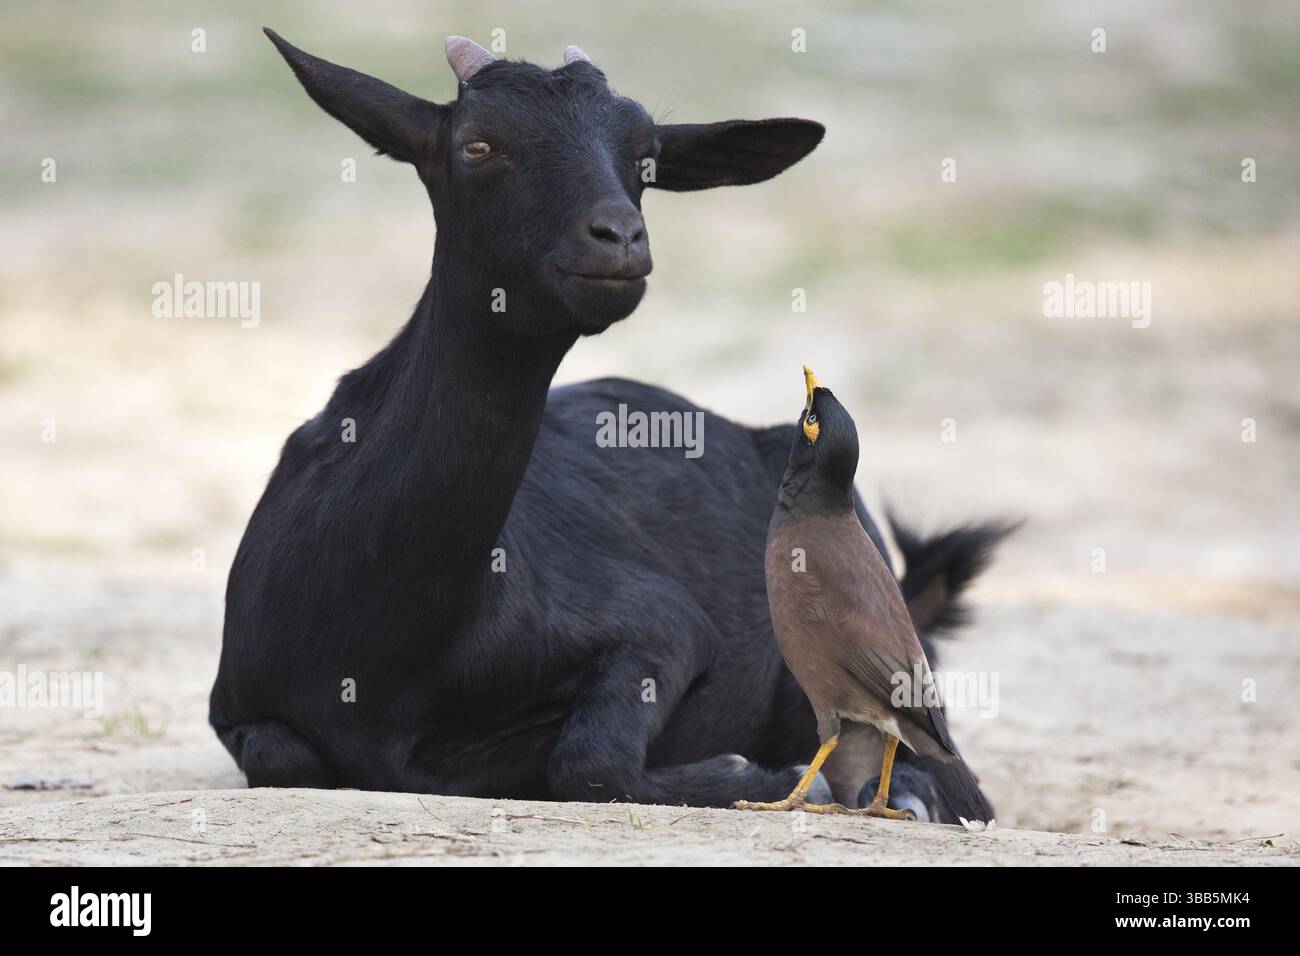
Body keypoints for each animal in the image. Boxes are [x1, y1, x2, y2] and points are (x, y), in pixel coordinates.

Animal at [210, 32, 1008, 818]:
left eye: (645, 157)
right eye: (477, 146)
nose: (619, 237)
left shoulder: (662, 624)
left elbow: (591, 761)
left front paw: (757, 776)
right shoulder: (240, 705)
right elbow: (281, 753)